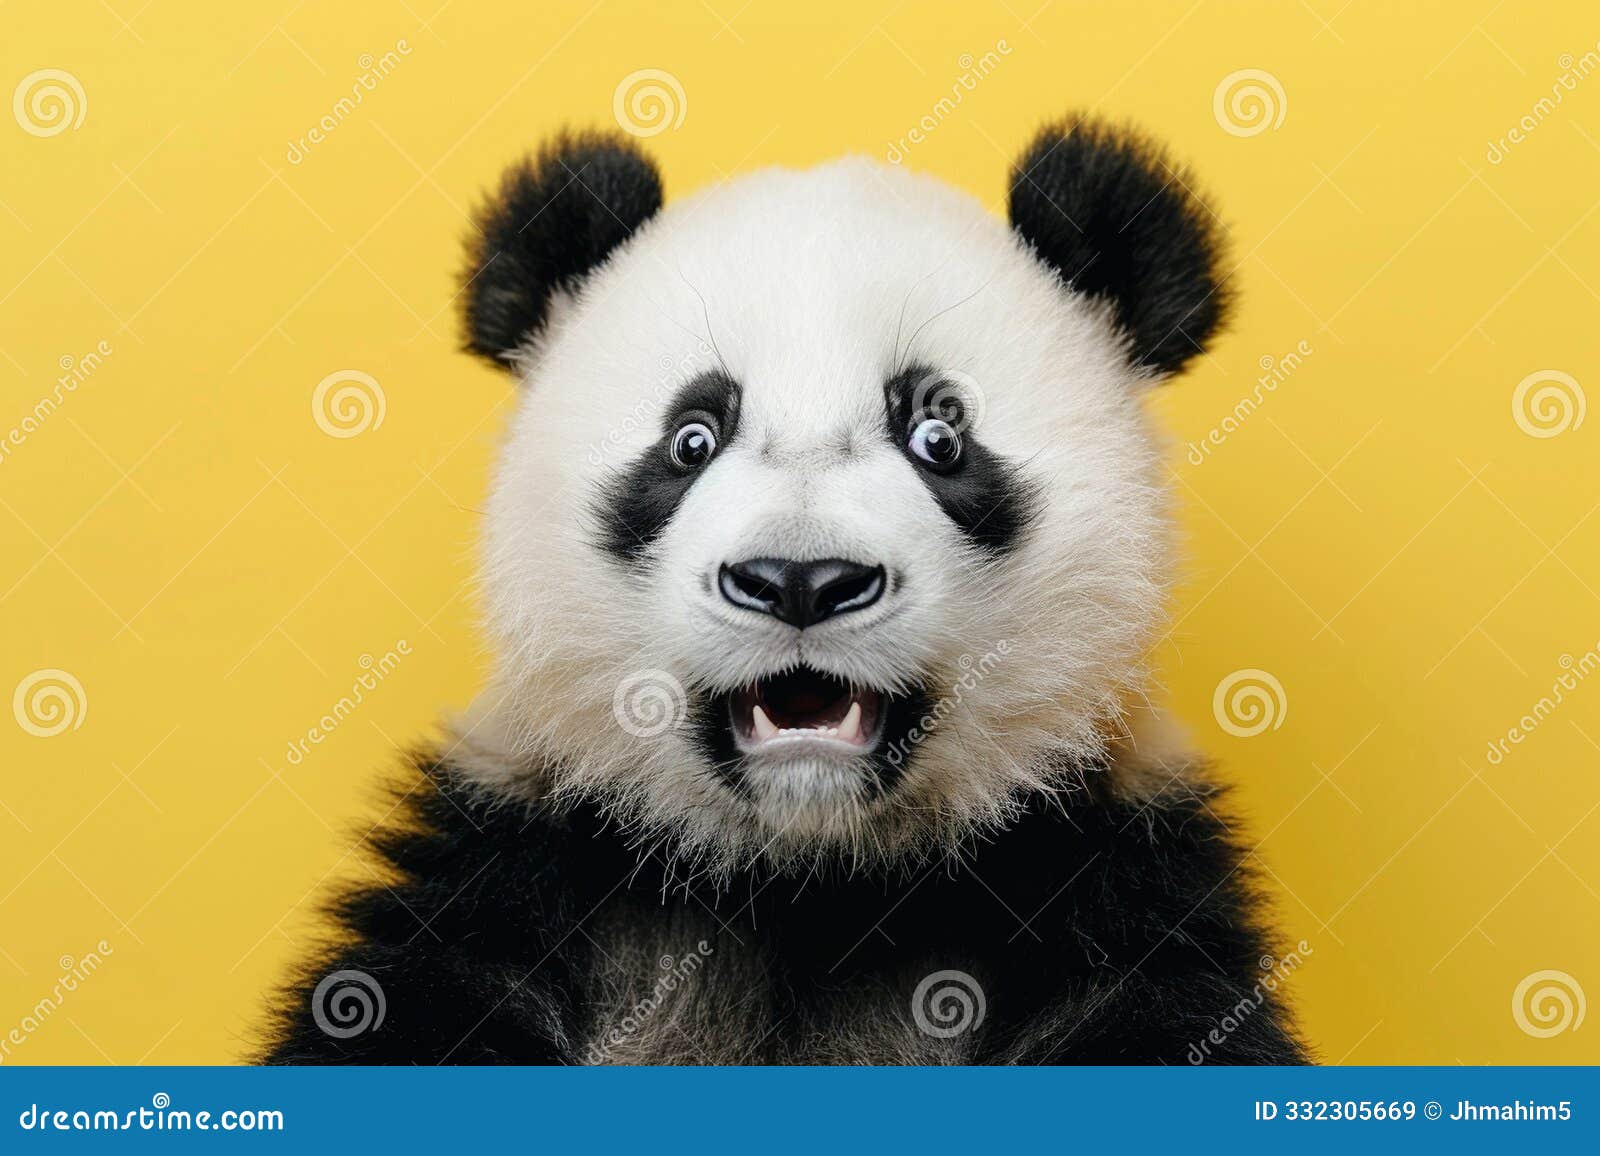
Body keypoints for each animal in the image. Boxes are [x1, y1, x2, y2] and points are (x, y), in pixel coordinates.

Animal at [260, 114, 1308, 1065]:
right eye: (690, 439)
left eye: (939, 435)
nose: (801, 581)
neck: (809, 885)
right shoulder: (506, 876)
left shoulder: (1116, 892)